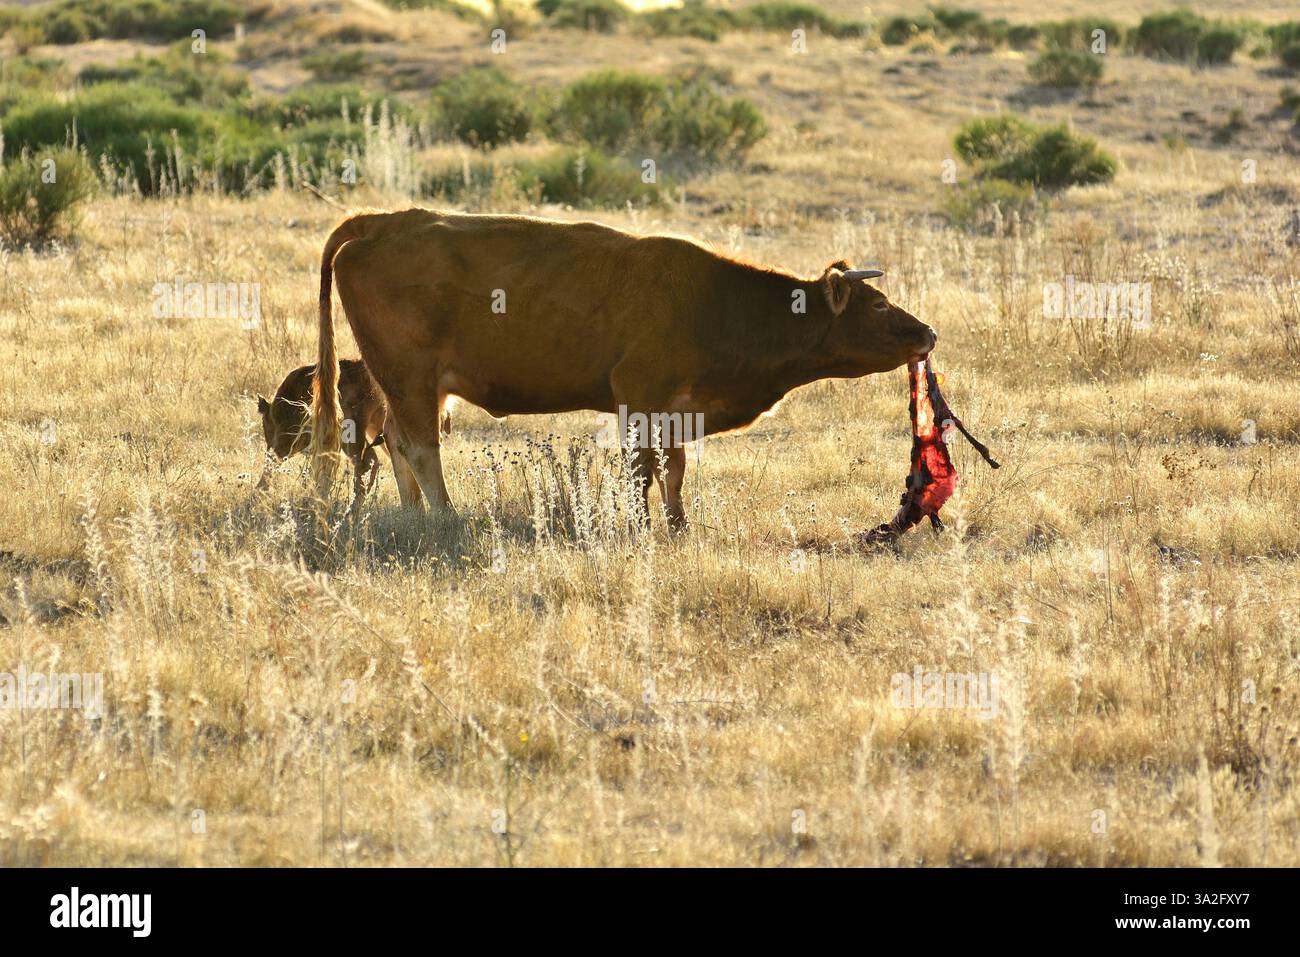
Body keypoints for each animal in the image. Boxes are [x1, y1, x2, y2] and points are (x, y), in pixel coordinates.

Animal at [308, 209, 937, 529]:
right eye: (878, 306)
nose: (928, 334)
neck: (713, 303)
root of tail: (383, 222)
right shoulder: (637, 398)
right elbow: (642, 473)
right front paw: (640, 526)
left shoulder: (677, 411)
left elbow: (674, 471)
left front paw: (678, 526)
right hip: (411, 377)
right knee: (419, 445)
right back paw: (445, 516)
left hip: (408, 384)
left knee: (394, 439)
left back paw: (415, 513)